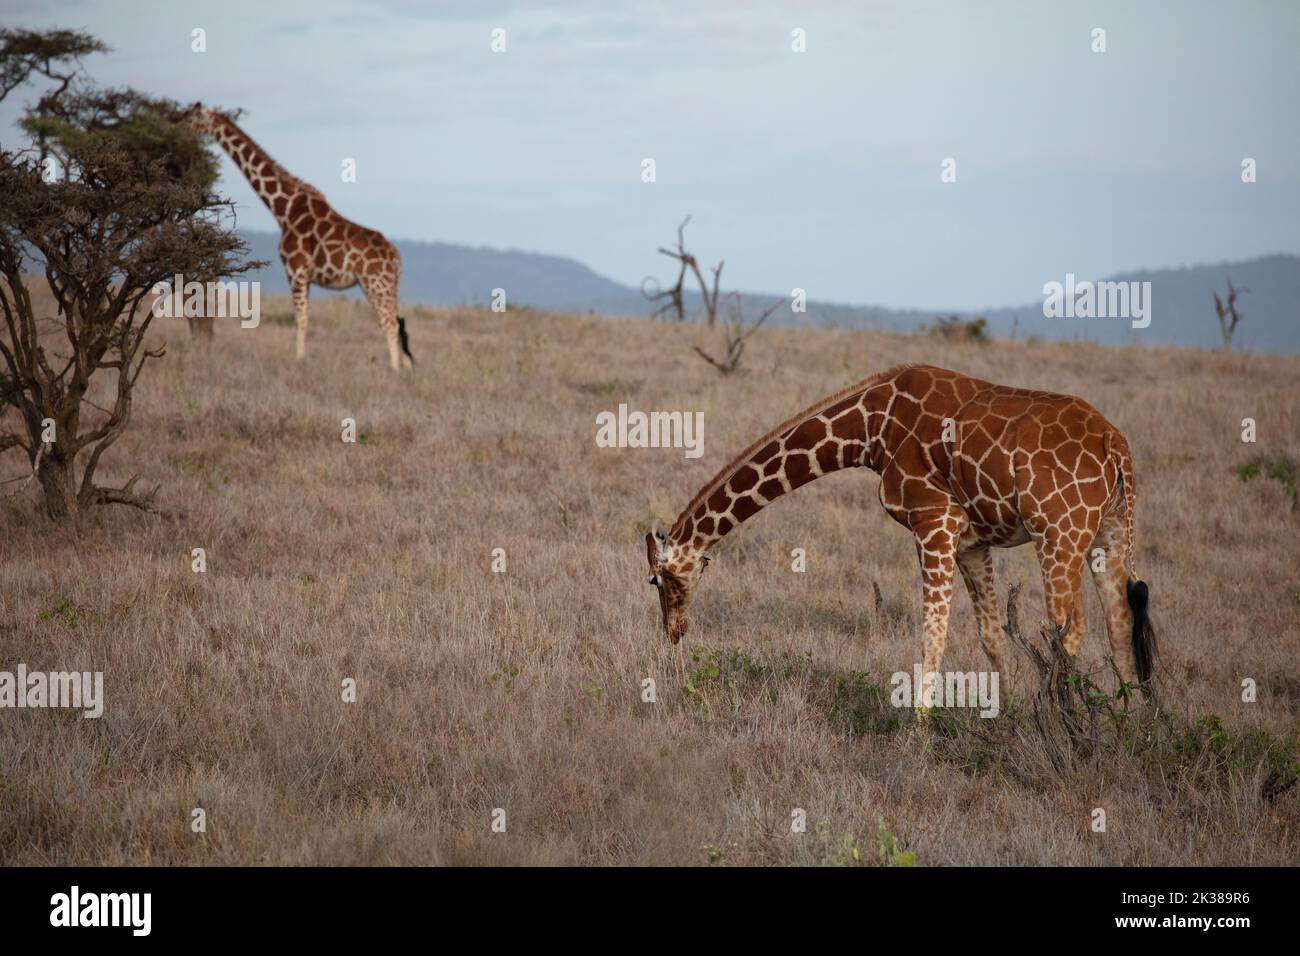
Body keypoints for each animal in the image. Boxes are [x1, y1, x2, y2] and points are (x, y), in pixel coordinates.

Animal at [182, 104, 414, 371]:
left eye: (190, 118)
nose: (176, 126)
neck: (284, 209)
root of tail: (396, 258)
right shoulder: (304, 275)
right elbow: (304, 318)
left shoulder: (295, 269)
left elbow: (300, 319)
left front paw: (299, 361)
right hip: (388, 285)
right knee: (398, 322)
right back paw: (405, 368)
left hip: (374, 283)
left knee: (390, 323)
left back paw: (395, 370)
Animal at [644, 364, 1156, 706]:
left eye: (658, 581)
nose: (673, 632)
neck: (869, 428)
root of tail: (1114, 443)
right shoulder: (971, 541)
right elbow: (990, 636)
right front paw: (1009, 718)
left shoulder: (934, 522)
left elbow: (932, 636)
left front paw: (920, 735)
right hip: (1110, 530)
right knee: (1119, 623)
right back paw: (1130, 727)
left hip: (1059, 532)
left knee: (1070, 630)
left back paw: (1059, 720)